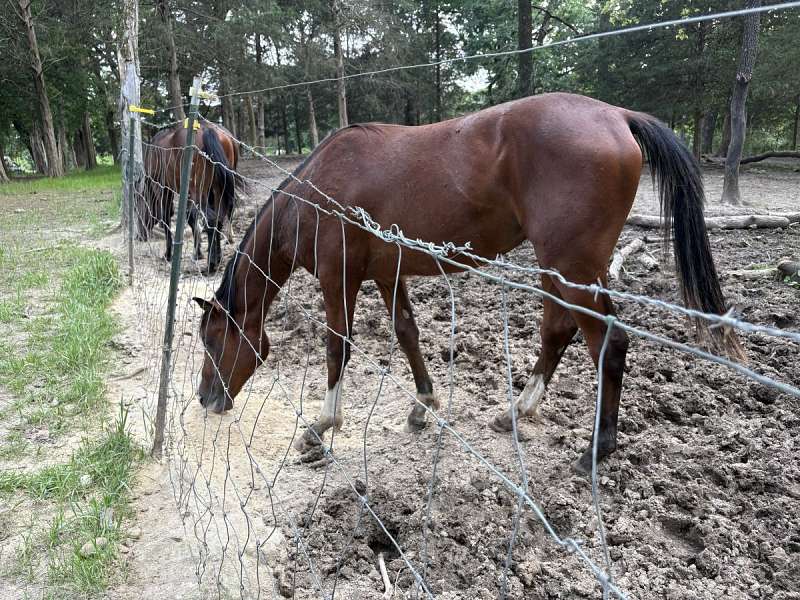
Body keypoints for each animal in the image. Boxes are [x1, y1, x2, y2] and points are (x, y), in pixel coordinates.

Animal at [140, 121, 241, 273]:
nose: (140, 236)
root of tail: (207, 129)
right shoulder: (193, 194)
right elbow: (191, 218)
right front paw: (198, 252)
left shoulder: (164, 189)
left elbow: (166, 217)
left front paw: (168, 254)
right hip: (218, 189)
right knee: (219, 217)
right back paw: (218, 257)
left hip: (199, 191)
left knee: (211, 219)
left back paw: (211, 264)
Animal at [191, 93, 743, 473]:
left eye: (214, 340)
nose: (205, 399)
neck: (315, 196)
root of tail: (617, 116)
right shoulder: (387, 275)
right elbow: (407, 333)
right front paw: (423, 406)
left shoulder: (338, 276)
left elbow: (337, 346)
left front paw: (321, 427)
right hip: (565, 269)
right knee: (557, 333)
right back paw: (516, 413)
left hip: (573, 268)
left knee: (608, 341)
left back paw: (596, 450)